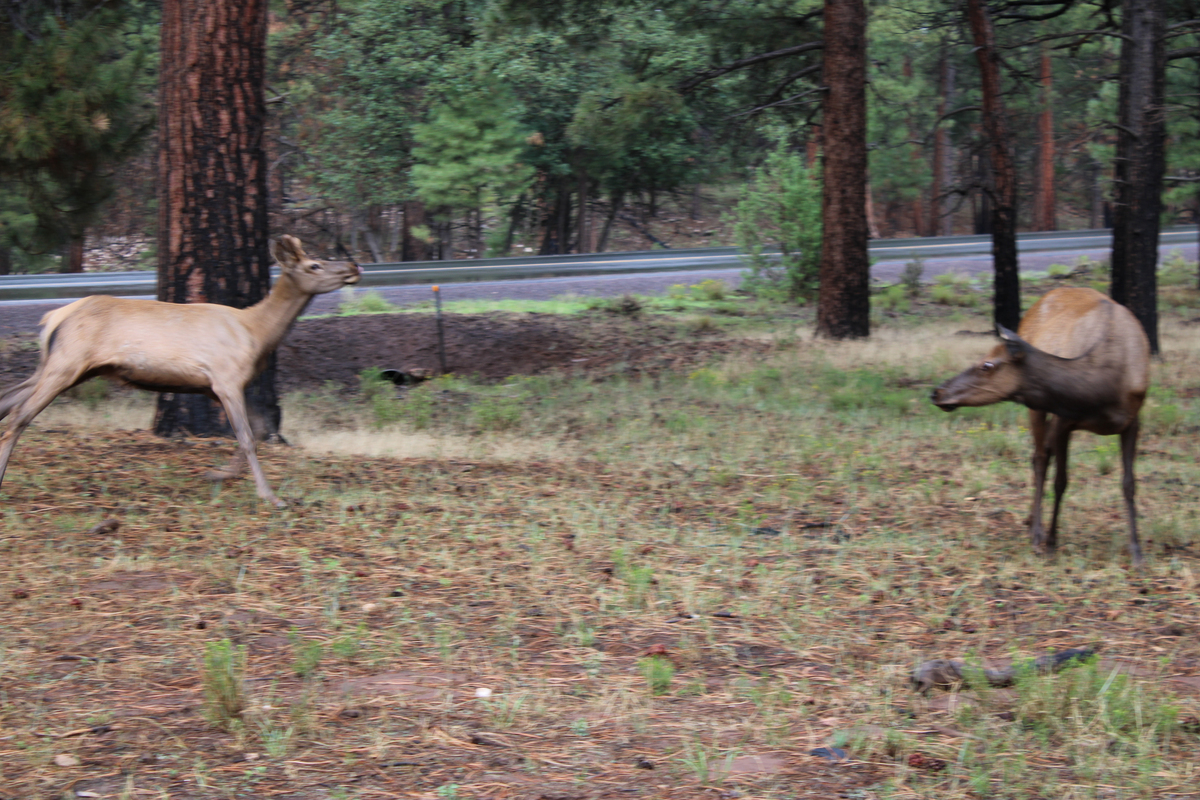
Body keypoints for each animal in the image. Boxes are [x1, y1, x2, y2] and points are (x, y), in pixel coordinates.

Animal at [0, 235, 361, 508]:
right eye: (314, 265)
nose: (354, 266)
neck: (257, 334)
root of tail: (52, 318)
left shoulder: (214, 386)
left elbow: (258, 429)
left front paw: (219, 474)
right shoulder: (226, 379)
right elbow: (247, 436)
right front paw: (270, 496)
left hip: (58, 366)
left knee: (7, 402)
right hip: (67, 363)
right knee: (19, 415)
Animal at [930, 287, 1151, 565]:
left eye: (987, 364)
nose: (937, 392)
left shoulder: (1134, 419)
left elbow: (1129, 484)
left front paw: (1137, 551)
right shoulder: (1063, 418)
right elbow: (1061, 481)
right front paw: (1050, 542)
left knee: (1043, 453)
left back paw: (1031, 520)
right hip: (1037, 408)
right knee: (1039, 457)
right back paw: (1036, 530)